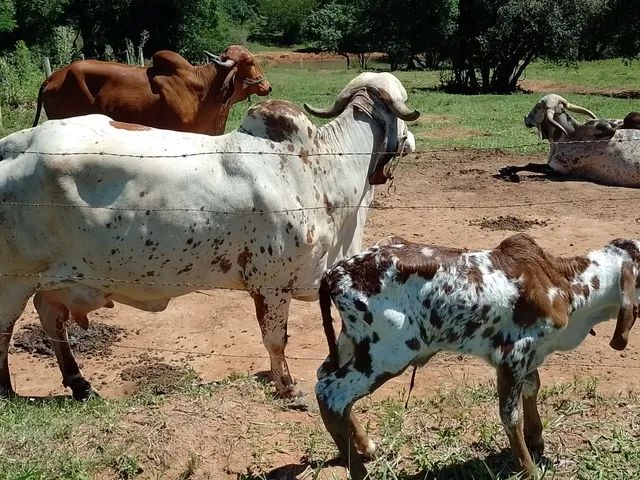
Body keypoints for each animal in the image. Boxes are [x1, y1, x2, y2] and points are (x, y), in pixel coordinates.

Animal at [0, 72, 419, 403]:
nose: (412, 140)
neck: (321, 167)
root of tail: (14, 145)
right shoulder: (271, 284)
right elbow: (276, 340)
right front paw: (286, 387)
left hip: (53, 278)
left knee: (51, 318)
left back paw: (79, 383)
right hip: (14, 280)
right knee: (6, 330)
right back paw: (8, 389)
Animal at [500, 94, 640, 187]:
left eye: (538, 106)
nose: (526, 118)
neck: (568, 136)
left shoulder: (556, 168)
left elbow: (530, 165)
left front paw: (508, 170)